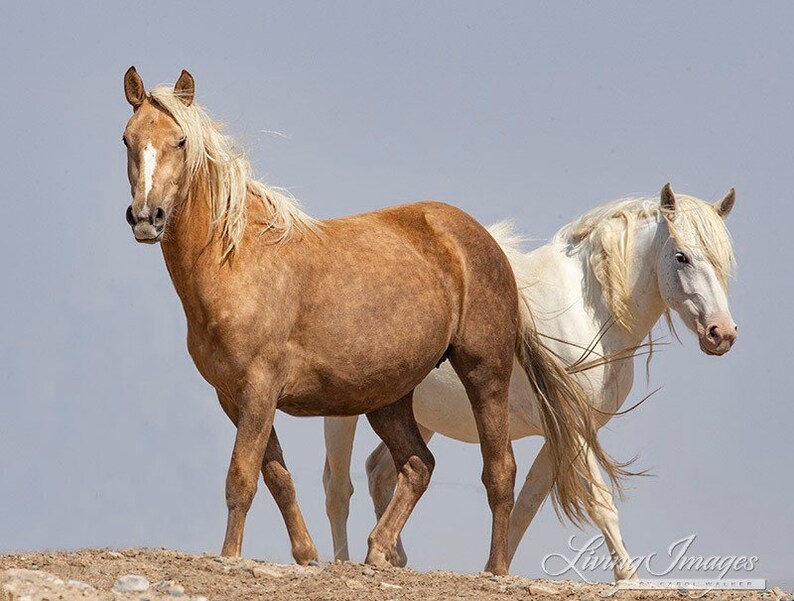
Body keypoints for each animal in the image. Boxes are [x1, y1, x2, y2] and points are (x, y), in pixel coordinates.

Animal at [119, 67, 621, 575]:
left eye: (181, 141)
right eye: (127, 139)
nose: (145, 218)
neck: (237, 260)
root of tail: (483, 241)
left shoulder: (259, 388)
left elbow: (242, 477)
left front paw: (230, 556)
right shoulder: (233, 396)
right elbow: (277, 477)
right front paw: (306, 556)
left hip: (486, 372)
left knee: (499, 471)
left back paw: (494, 569)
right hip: (388, 397)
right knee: (418, 465)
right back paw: (378, 550)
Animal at [323, 183, 738, 580]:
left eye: (725, 263)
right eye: (682, 256)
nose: (722, 333)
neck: (587, 310)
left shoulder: (560, 435)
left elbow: (527, 505)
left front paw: (496, 567)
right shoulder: (574, 429)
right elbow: (602, 503)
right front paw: (628, 577)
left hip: (420, 418)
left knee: (381, 471)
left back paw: (392, 557)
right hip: (344, 414)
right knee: (338, 488)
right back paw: (343, 561)